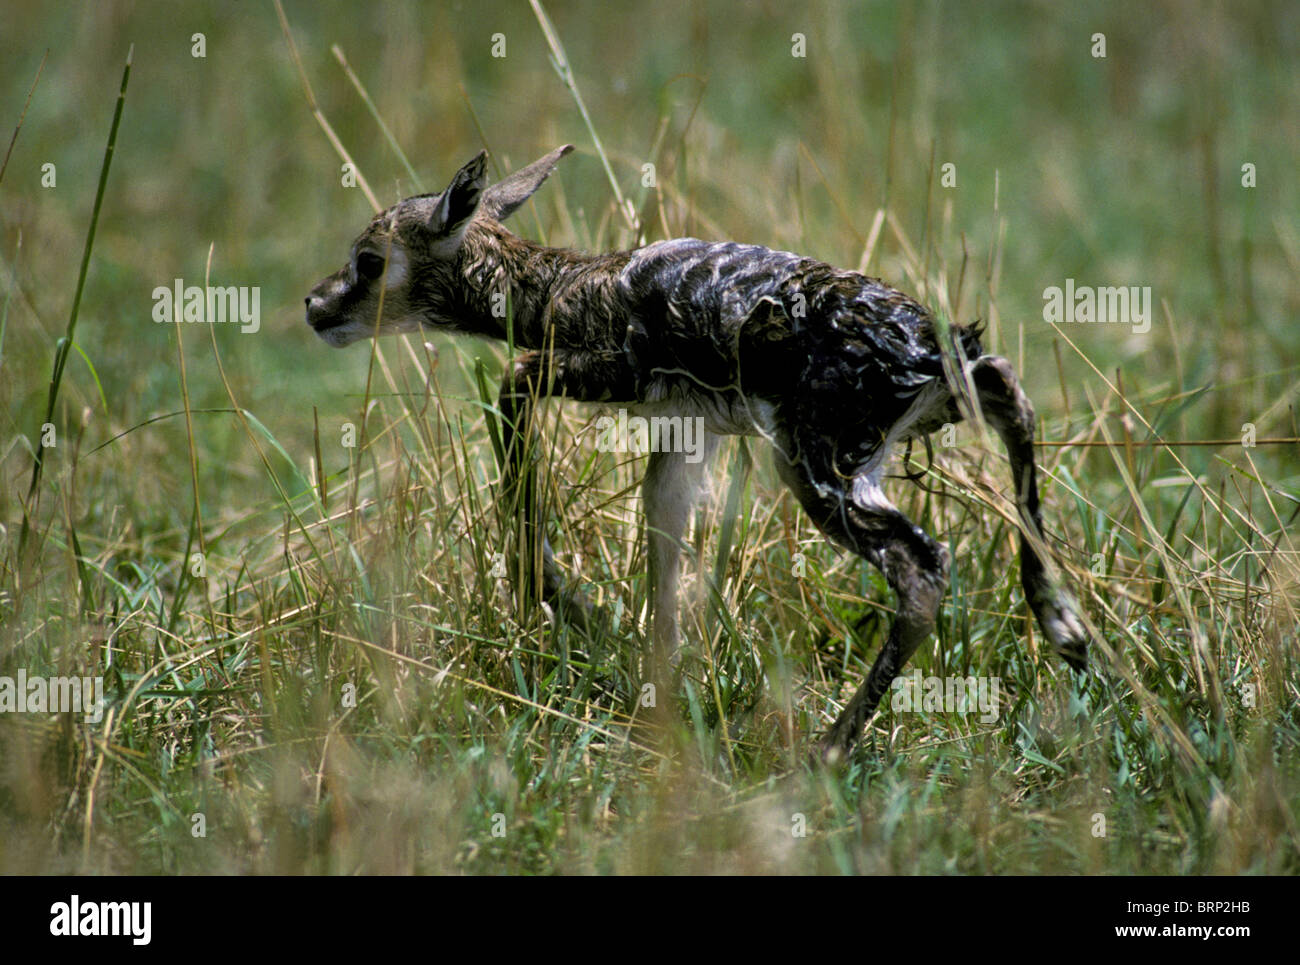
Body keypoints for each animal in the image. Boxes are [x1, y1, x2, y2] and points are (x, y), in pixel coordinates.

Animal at [305, 145, 1091, 759]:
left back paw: (827, 750)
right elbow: (665, 525)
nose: (315, 305)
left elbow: (512, 394)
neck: (566, 290)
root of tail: (928, 354)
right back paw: (1068, 631)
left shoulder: (594, 370)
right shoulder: (691, 427)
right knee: (1009, 393)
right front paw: (656, 689)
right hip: (921, 418)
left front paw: (566, 601)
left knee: (923, 565)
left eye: (369, 259)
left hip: (819, 467)